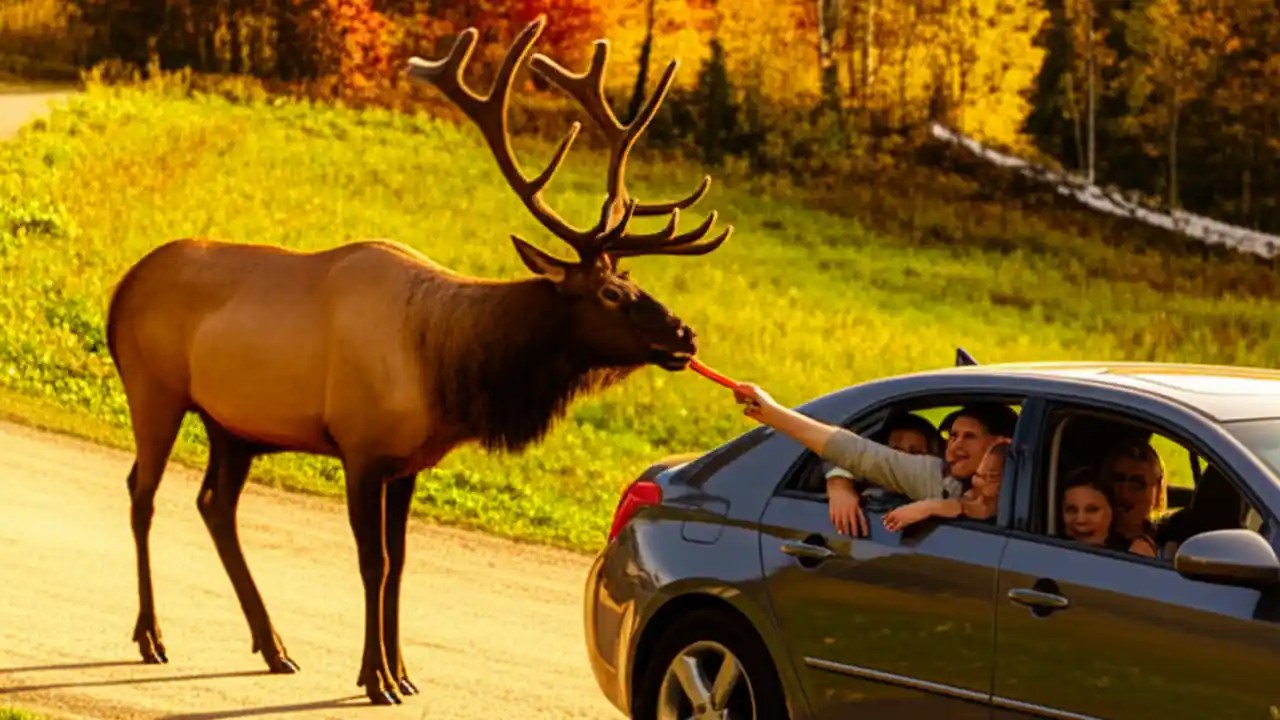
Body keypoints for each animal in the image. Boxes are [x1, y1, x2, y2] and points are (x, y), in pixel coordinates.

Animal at [104, 14, 732, 707]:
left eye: (631, 280)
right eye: (611, 294)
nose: (685, 335)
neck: (446, 370)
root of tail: (120, 290)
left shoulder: (408, 463)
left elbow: (401, 562)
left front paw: (402, 672)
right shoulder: (360, 448)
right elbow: (372, 562)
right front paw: (374, 678)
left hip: (231, 426)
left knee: (215, 505)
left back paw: (273, 646)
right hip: (153, 389)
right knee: (142, 492)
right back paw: (151, 636)